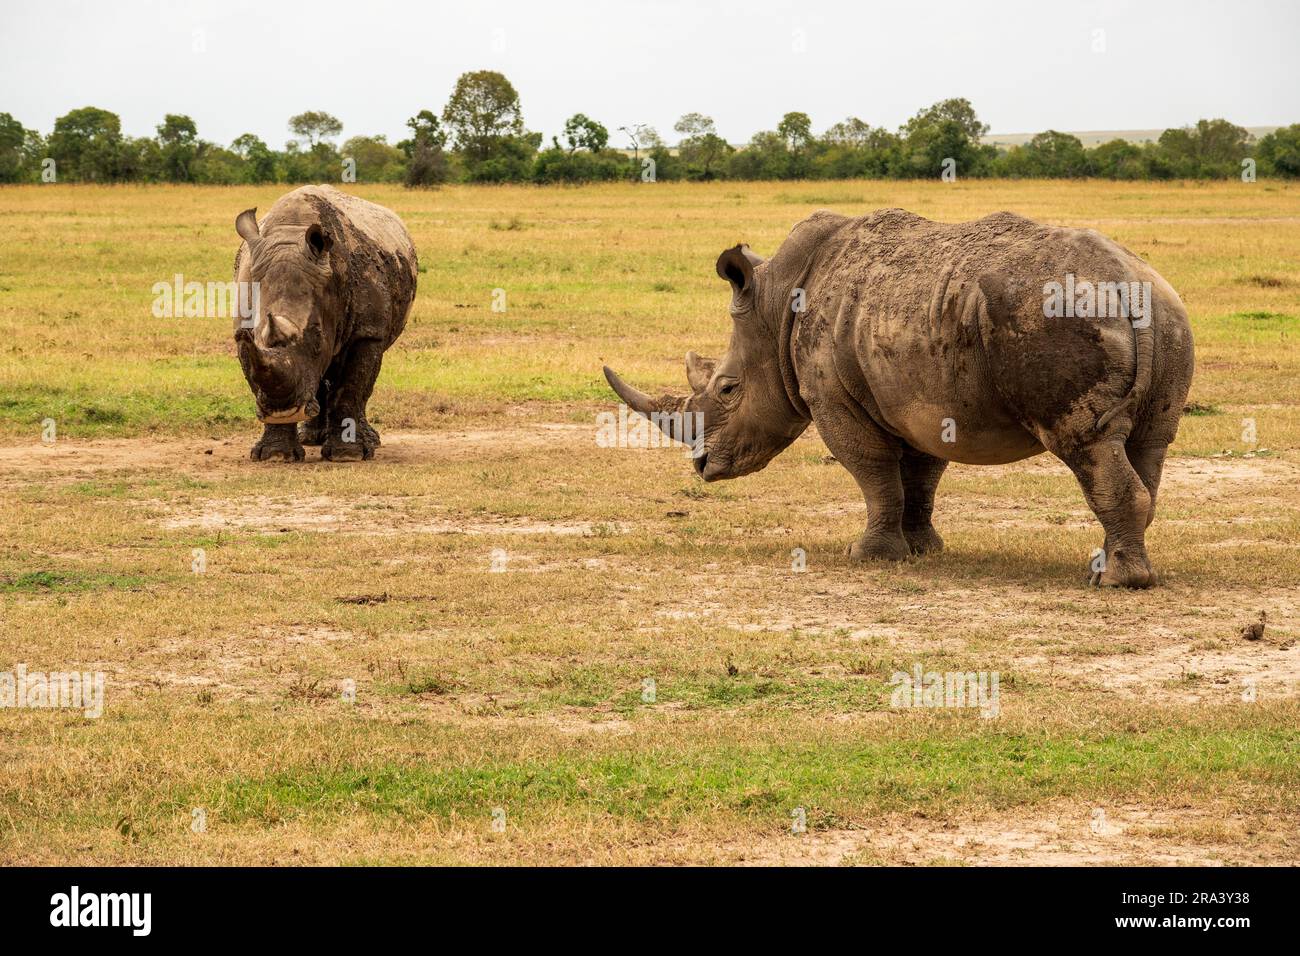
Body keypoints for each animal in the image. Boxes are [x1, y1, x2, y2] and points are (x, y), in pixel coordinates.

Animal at [232, 185, 416, 461]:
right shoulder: (243, 331)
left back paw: (369, 441)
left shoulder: (368, 332)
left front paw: (348, 455)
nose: (284, 411)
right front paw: (276, 455)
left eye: (318, 339)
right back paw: (310, 439)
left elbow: (352, 387)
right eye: (253, 336)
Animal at [604, 209, 1194, 588]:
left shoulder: (836, 398)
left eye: (728, 389)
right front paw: (923, 550)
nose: (702, 465)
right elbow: (920, 474)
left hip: (1058, 319)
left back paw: (1116, 581)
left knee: (1085, 443)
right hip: (1169, 315)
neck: (774, 306)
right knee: (1148, 444)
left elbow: (872, 470)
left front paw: (868, 557)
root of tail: (1125, 281)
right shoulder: (926, 399)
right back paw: (1116, 567)